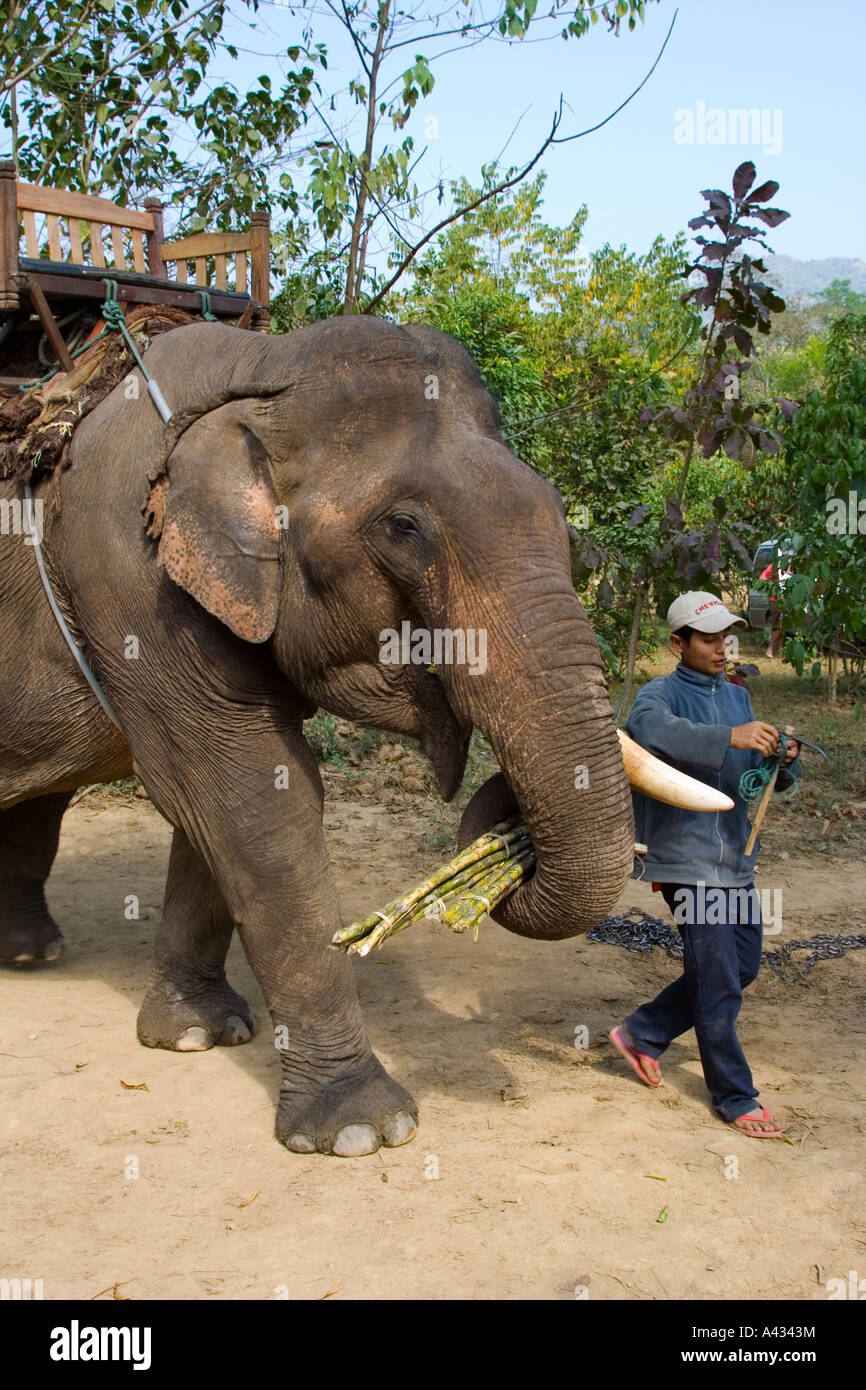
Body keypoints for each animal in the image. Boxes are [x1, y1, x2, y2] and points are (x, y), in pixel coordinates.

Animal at [0, 314, 690, 1157]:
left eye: (558, 511)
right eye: (403, 528)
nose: (511, 831)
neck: (257, 373)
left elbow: (225, 806)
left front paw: (198, 1035)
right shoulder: (132, 586)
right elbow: (251, 798)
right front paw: (364, 1129)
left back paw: (29, 955)